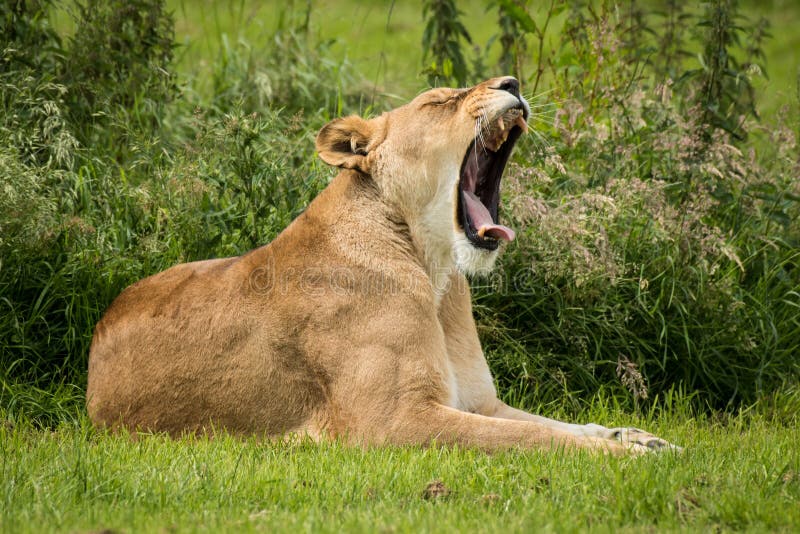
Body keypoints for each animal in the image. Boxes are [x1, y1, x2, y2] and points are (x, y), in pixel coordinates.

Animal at [87, 77, 676, 454]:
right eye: (440, 101)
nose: (512, 80)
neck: (435, 271)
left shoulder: (480, 402)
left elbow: (564, 425)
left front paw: (641, 438)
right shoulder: (395, 422)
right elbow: (531, 438)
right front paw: (626, 458)